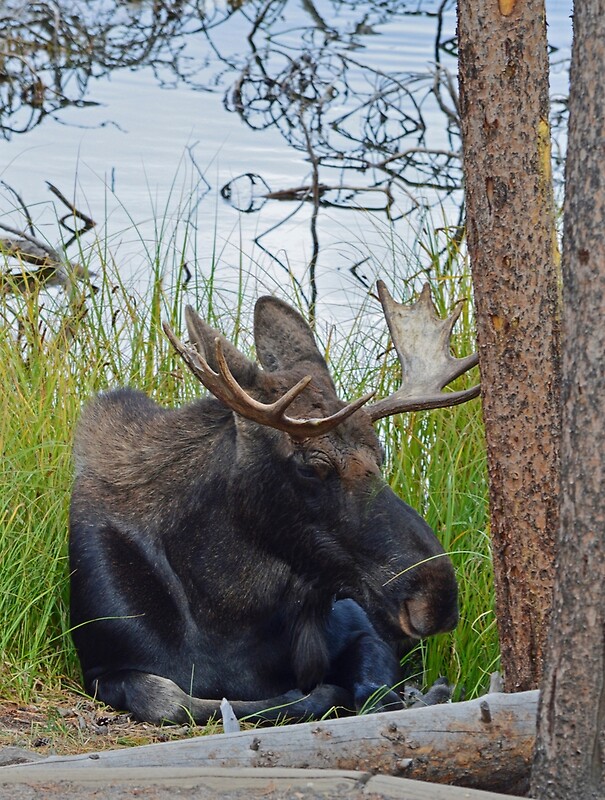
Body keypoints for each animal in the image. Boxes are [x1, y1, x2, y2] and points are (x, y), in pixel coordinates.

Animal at [69, 281, 479, 725]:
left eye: (381, 455)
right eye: (312, 466)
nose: (437, 599)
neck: (225, 615)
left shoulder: (364, 630)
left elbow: (371, 693)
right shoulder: (105, 667)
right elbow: (172, 698)